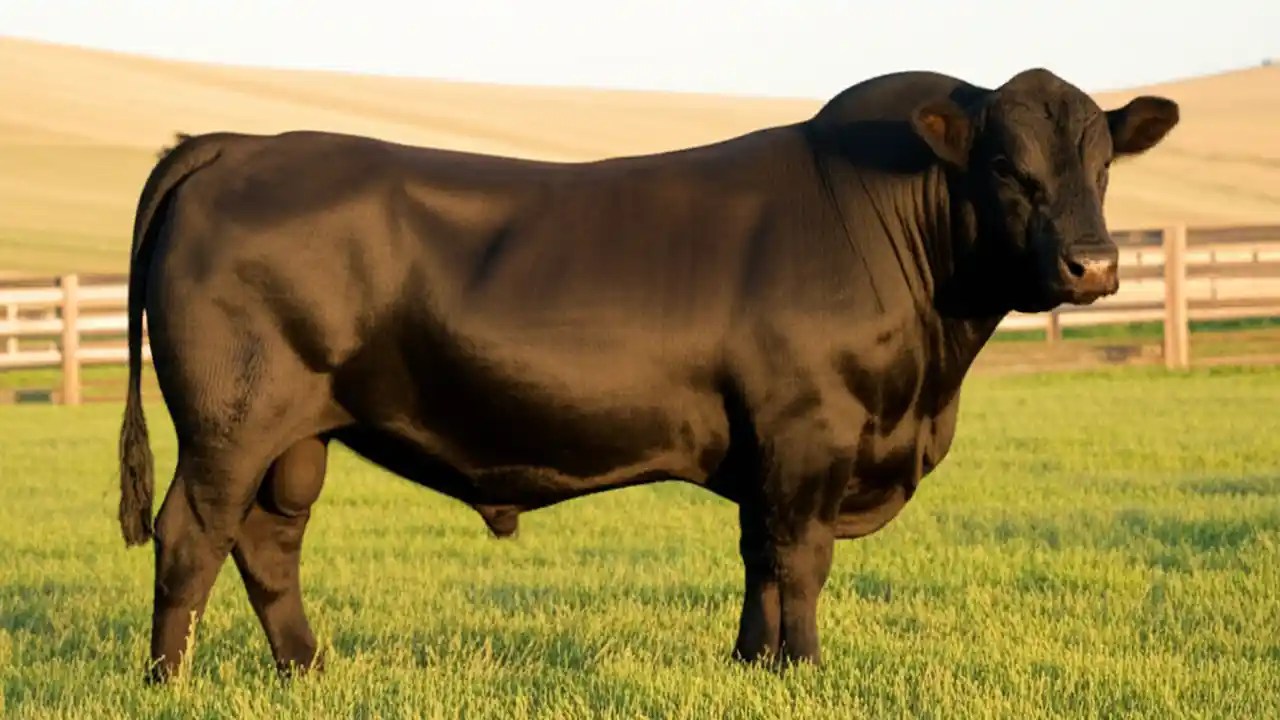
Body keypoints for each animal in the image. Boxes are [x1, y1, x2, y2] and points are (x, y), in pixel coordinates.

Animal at [116, 67, 1178, 682]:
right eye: (1004, 166)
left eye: (1102, 165)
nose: (1093, 266)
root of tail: (238, 145)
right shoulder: (810, 430)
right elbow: (800, 557)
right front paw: (803, 672)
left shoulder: (771, 449)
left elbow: (758, 557)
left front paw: (753, 667)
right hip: (231, 421)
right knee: (191, 535)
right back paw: (168, 684)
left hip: (298, 434)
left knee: (268, 541)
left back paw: (309, 671)